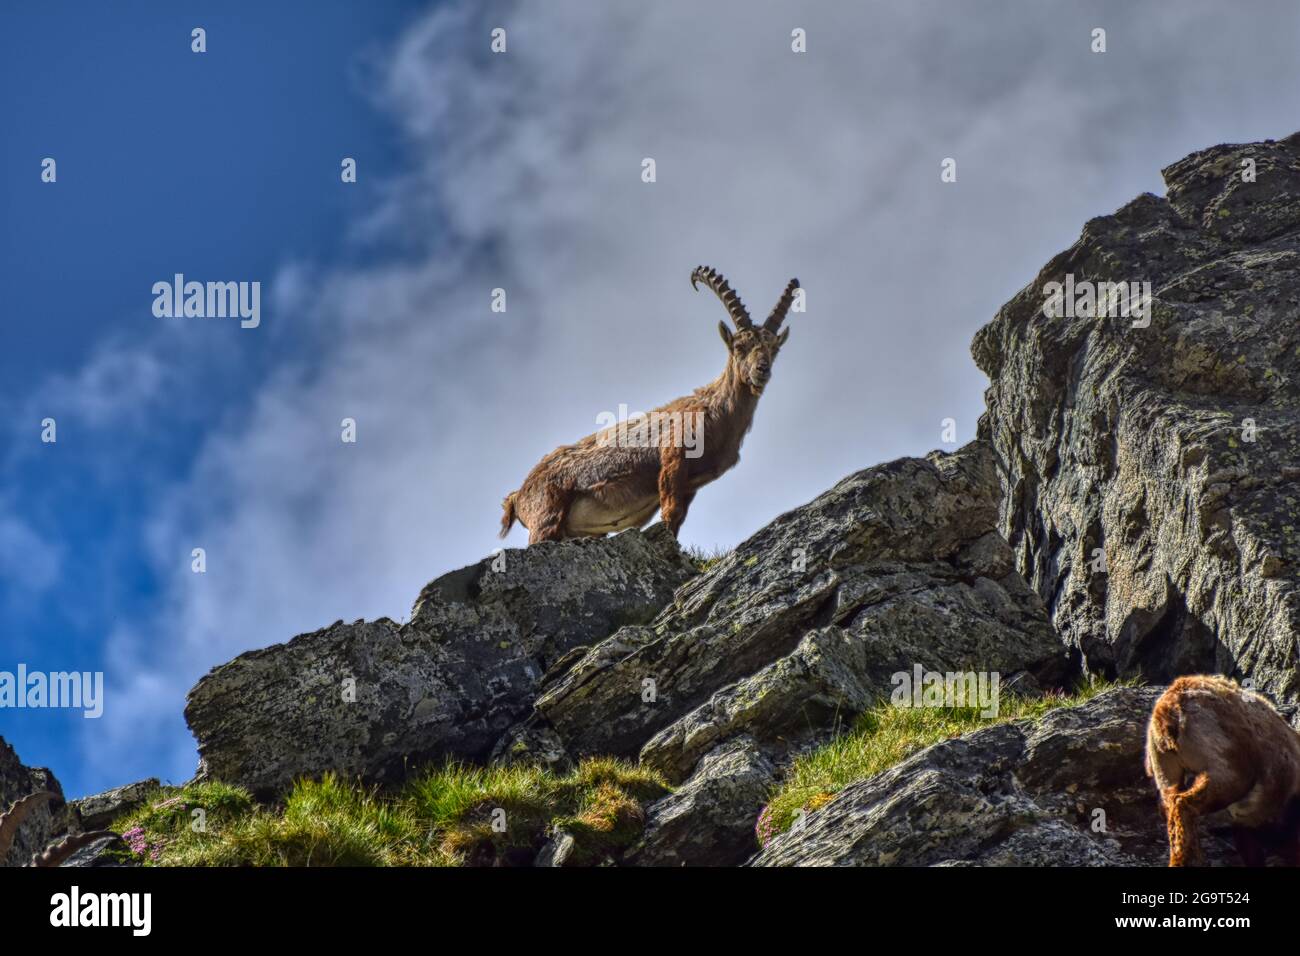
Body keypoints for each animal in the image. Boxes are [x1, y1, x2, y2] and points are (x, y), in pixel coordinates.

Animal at [500, 266, 798, 544]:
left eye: (773, 348)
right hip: (545, 517)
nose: (762, 370)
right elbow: (670, 514)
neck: (713, 412)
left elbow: (678, 519)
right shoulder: (672, 459)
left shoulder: (690, 486)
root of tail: (518, 495)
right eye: (739, 346)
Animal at [1144, 675, 1300, 866]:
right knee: (1184, 803)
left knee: (1170, 805)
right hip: (1229, 769)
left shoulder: (1247, 823)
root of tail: (1169, 711)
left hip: (1165, 768)